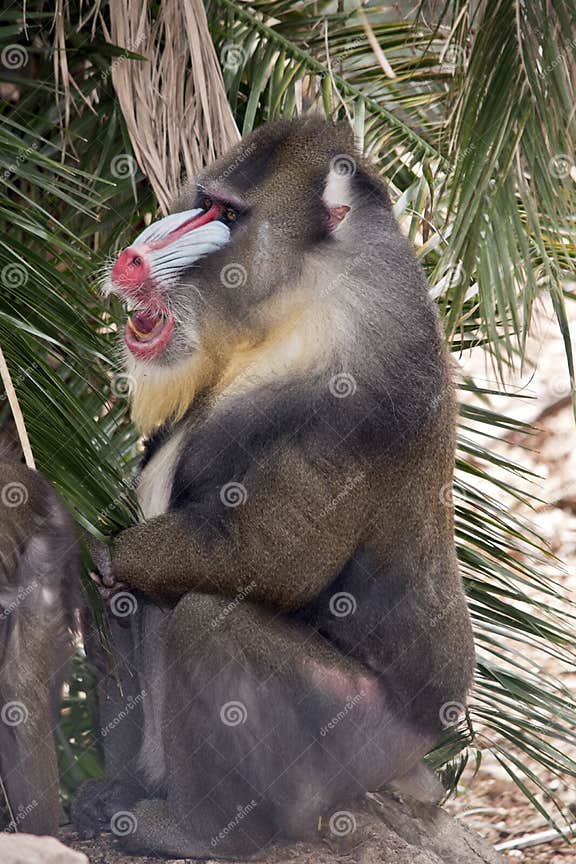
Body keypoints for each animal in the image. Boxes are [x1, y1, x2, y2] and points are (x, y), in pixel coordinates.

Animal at [72, 116, 476, 858]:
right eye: (202, 201)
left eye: (229, 216)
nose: (132, 260)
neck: (297, 301)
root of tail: (416, 757)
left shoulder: (355, 391)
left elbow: (270, 559)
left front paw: (119, 554)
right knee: (108, 603)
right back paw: (129, 790)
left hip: (352, 742)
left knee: (204, 620)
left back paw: (199, 831)